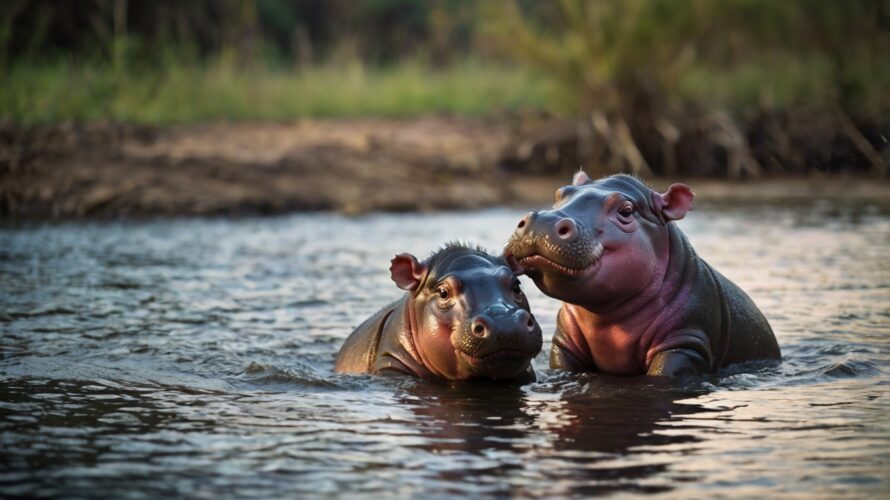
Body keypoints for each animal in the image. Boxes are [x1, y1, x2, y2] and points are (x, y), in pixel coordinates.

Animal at [504, 172, 780, 377]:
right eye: (560, 193)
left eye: (626, 210)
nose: (544, 222)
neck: (607, 319)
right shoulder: (564, 345)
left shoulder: (684, 345)